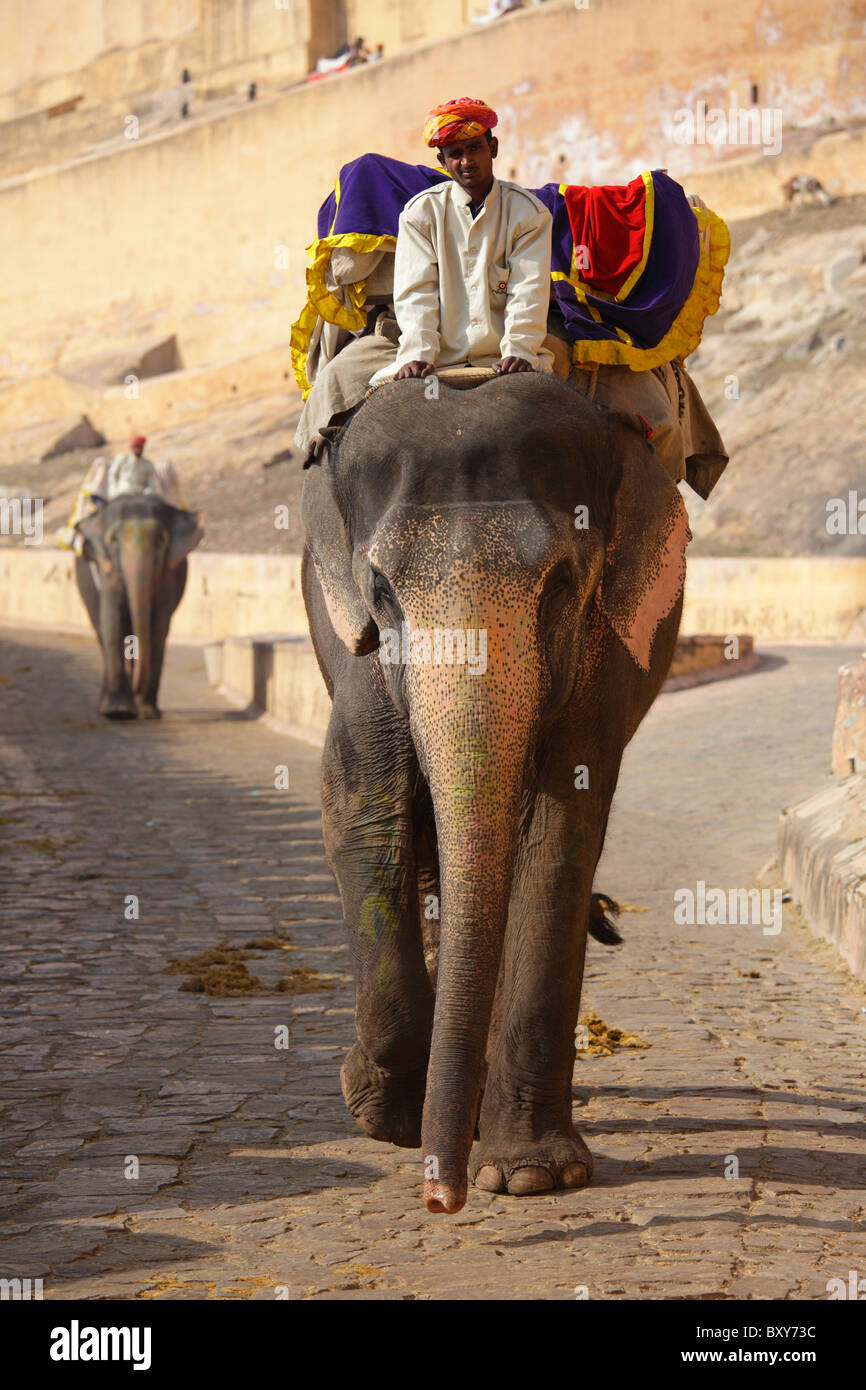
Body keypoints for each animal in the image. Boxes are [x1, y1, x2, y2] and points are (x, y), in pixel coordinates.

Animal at [74, 493, 203, 720]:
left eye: (160, 540)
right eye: (113, 540)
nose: (136, 688)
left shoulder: (167, 574)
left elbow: (158, 627)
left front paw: (147, 712)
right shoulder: (107, 569)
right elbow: (111, 620)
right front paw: (119, 712)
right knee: (101, 631)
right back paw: (107, 705)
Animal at [301, 371, 690, 1214]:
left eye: (564, 582)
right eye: (380, 589)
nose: (440, 1200)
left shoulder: (599, 647)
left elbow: (559, 833)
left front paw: (531, 1176)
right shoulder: (355, 645)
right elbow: (358, 804)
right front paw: (381, 1111)